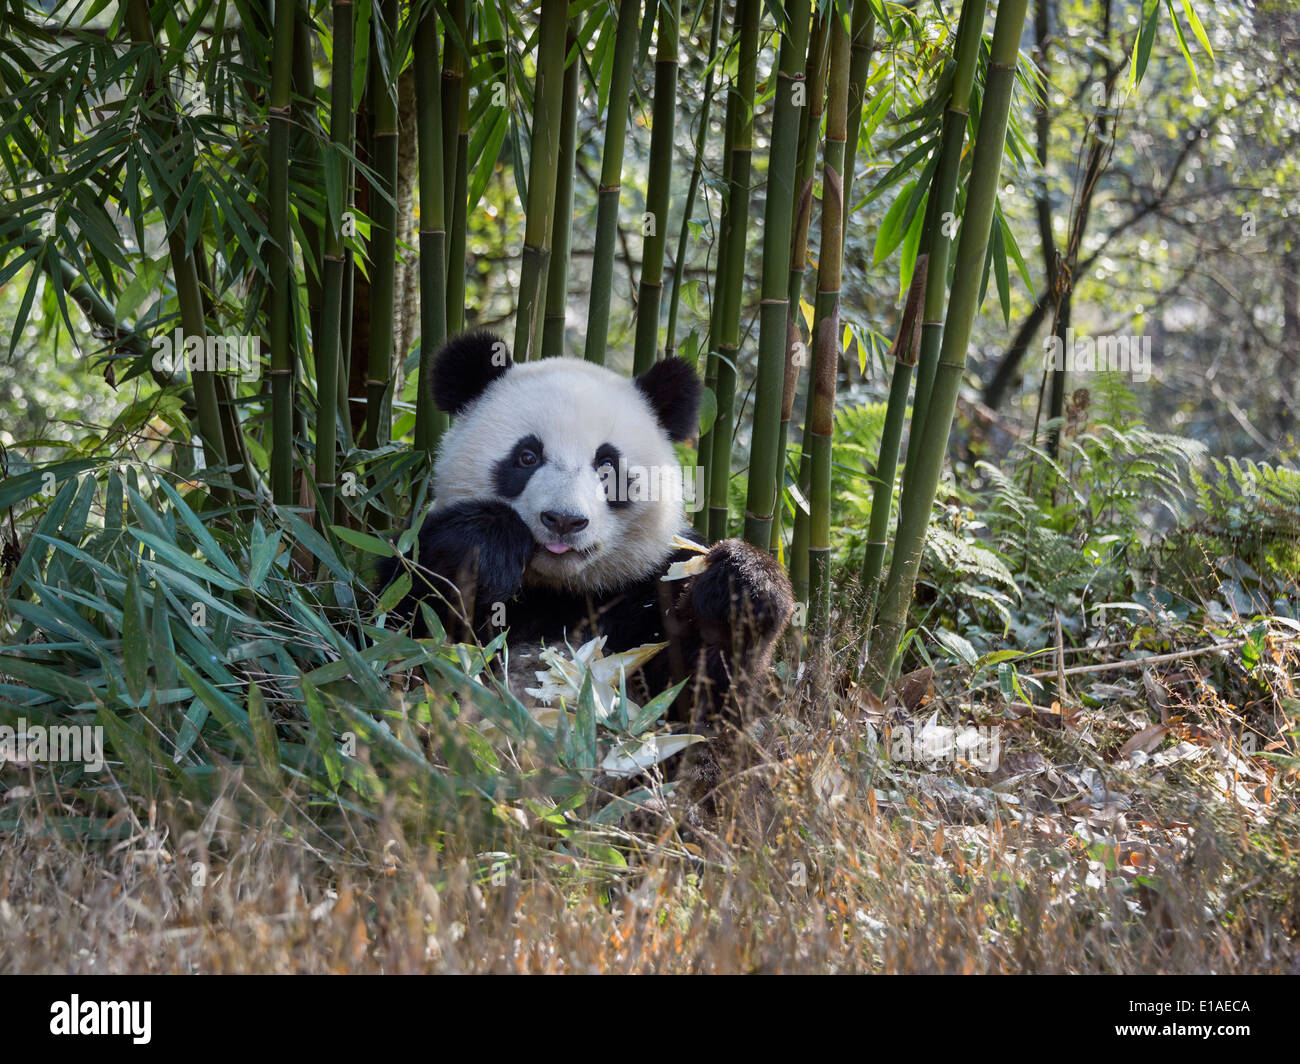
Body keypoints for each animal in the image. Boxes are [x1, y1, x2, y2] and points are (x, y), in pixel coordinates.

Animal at [377, 330, 795, 761]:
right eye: (527, 456)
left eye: (607, 465)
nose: (564, 520)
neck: (562, 591)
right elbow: (407, 637)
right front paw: (489, 550)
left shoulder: (649, 585)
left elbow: (700, 699)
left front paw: (740, 585)